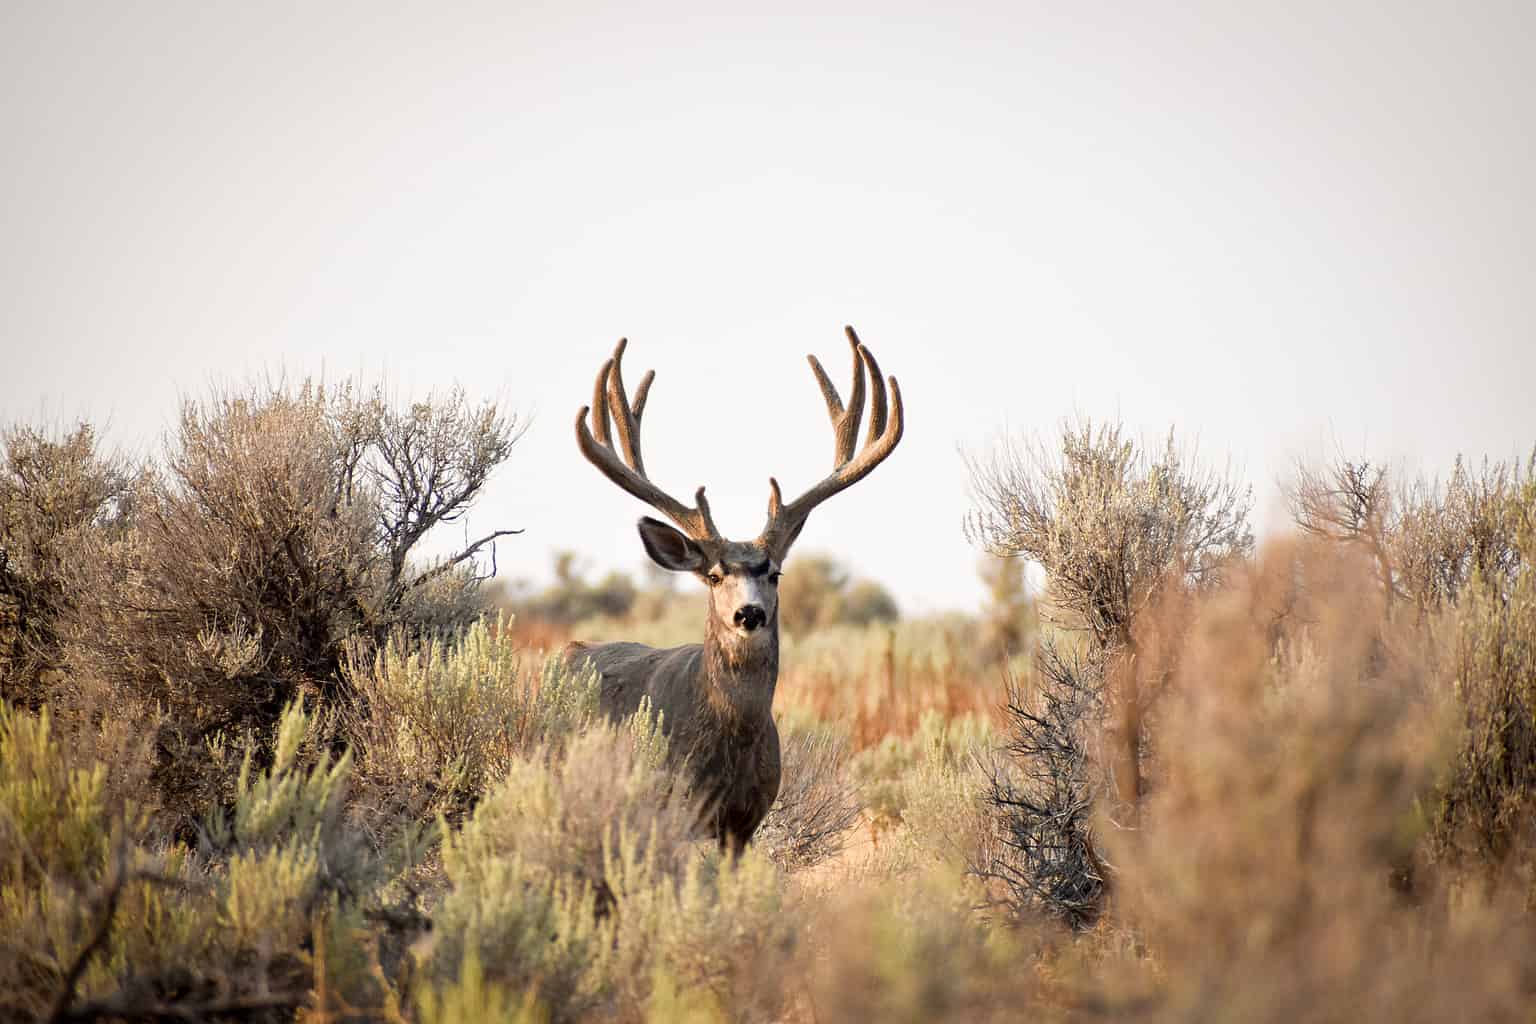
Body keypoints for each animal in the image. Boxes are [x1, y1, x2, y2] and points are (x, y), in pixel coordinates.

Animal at [563, 326, 904, 853]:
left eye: (774, 572)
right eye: (714, 575)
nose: (749, 614)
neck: (731, 741)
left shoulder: (745, 821)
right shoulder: (677, 805)